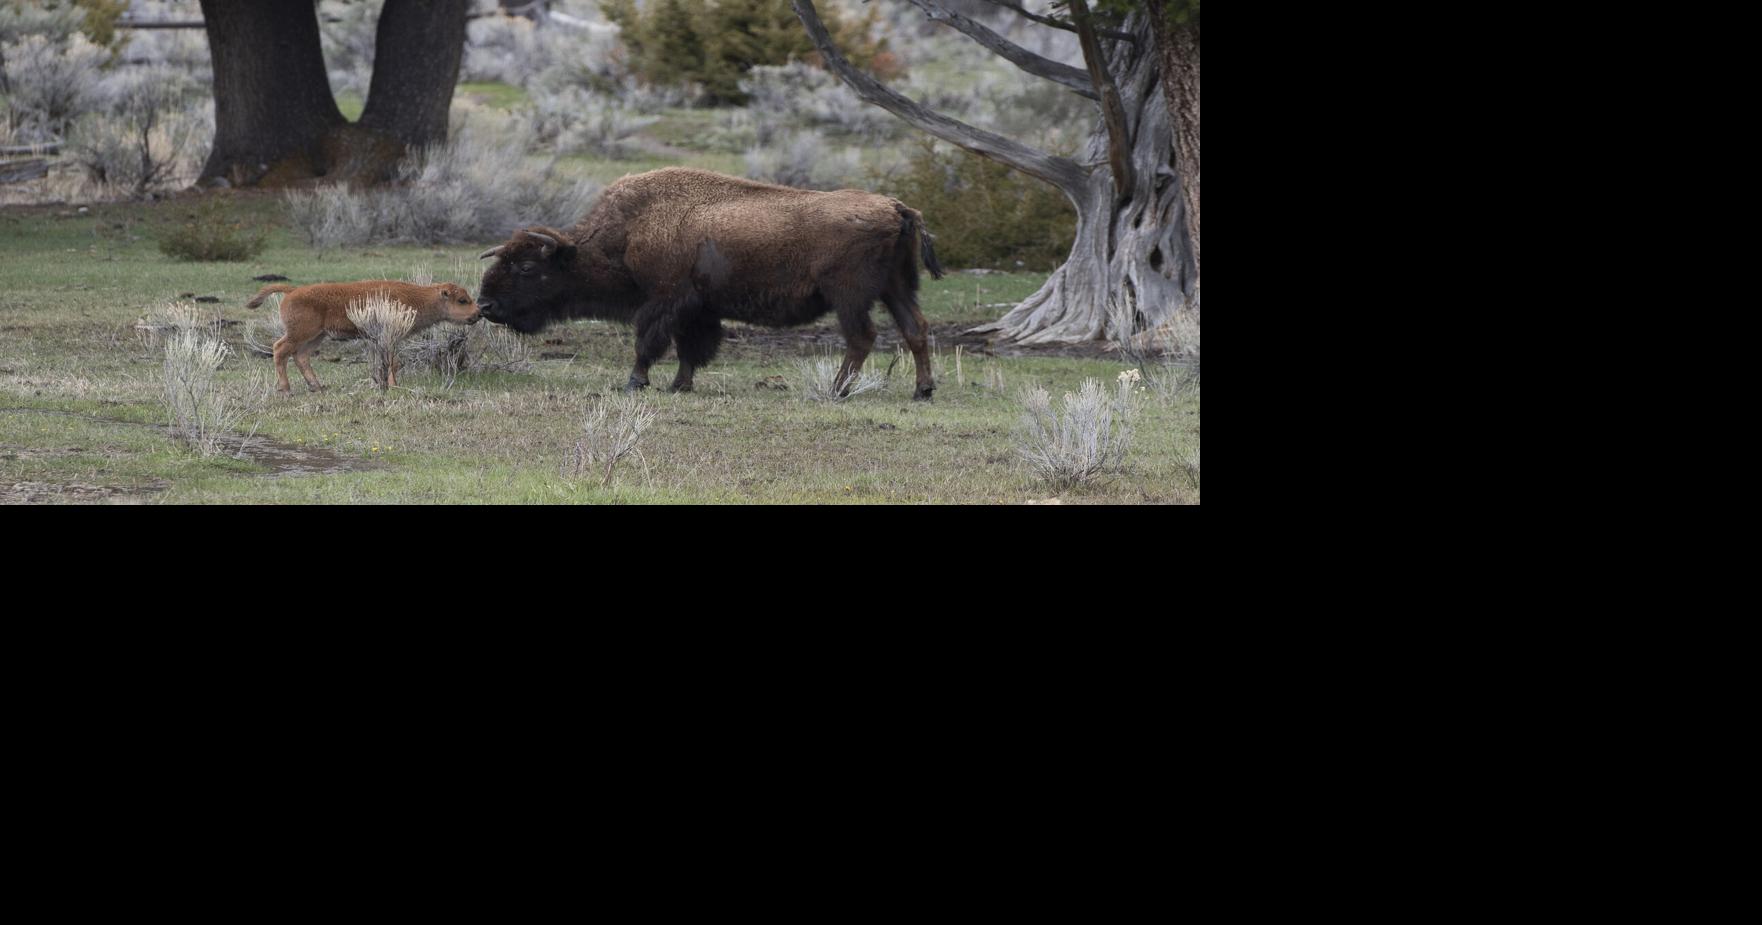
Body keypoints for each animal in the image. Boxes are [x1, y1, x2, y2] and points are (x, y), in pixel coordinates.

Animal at [475, 167, 945, 399]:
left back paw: (837, 391)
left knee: (862, 337)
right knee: (915, 329)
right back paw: (922, 390)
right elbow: (691, 349)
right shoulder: (698, 310)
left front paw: (635, 383)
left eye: (527, 268)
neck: (627, 230)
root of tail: (897, 207)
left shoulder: (664, 300)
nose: (485, 305)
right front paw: (680, 386)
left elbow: (648, 343)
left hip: (850, 296)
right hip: (896, 288)